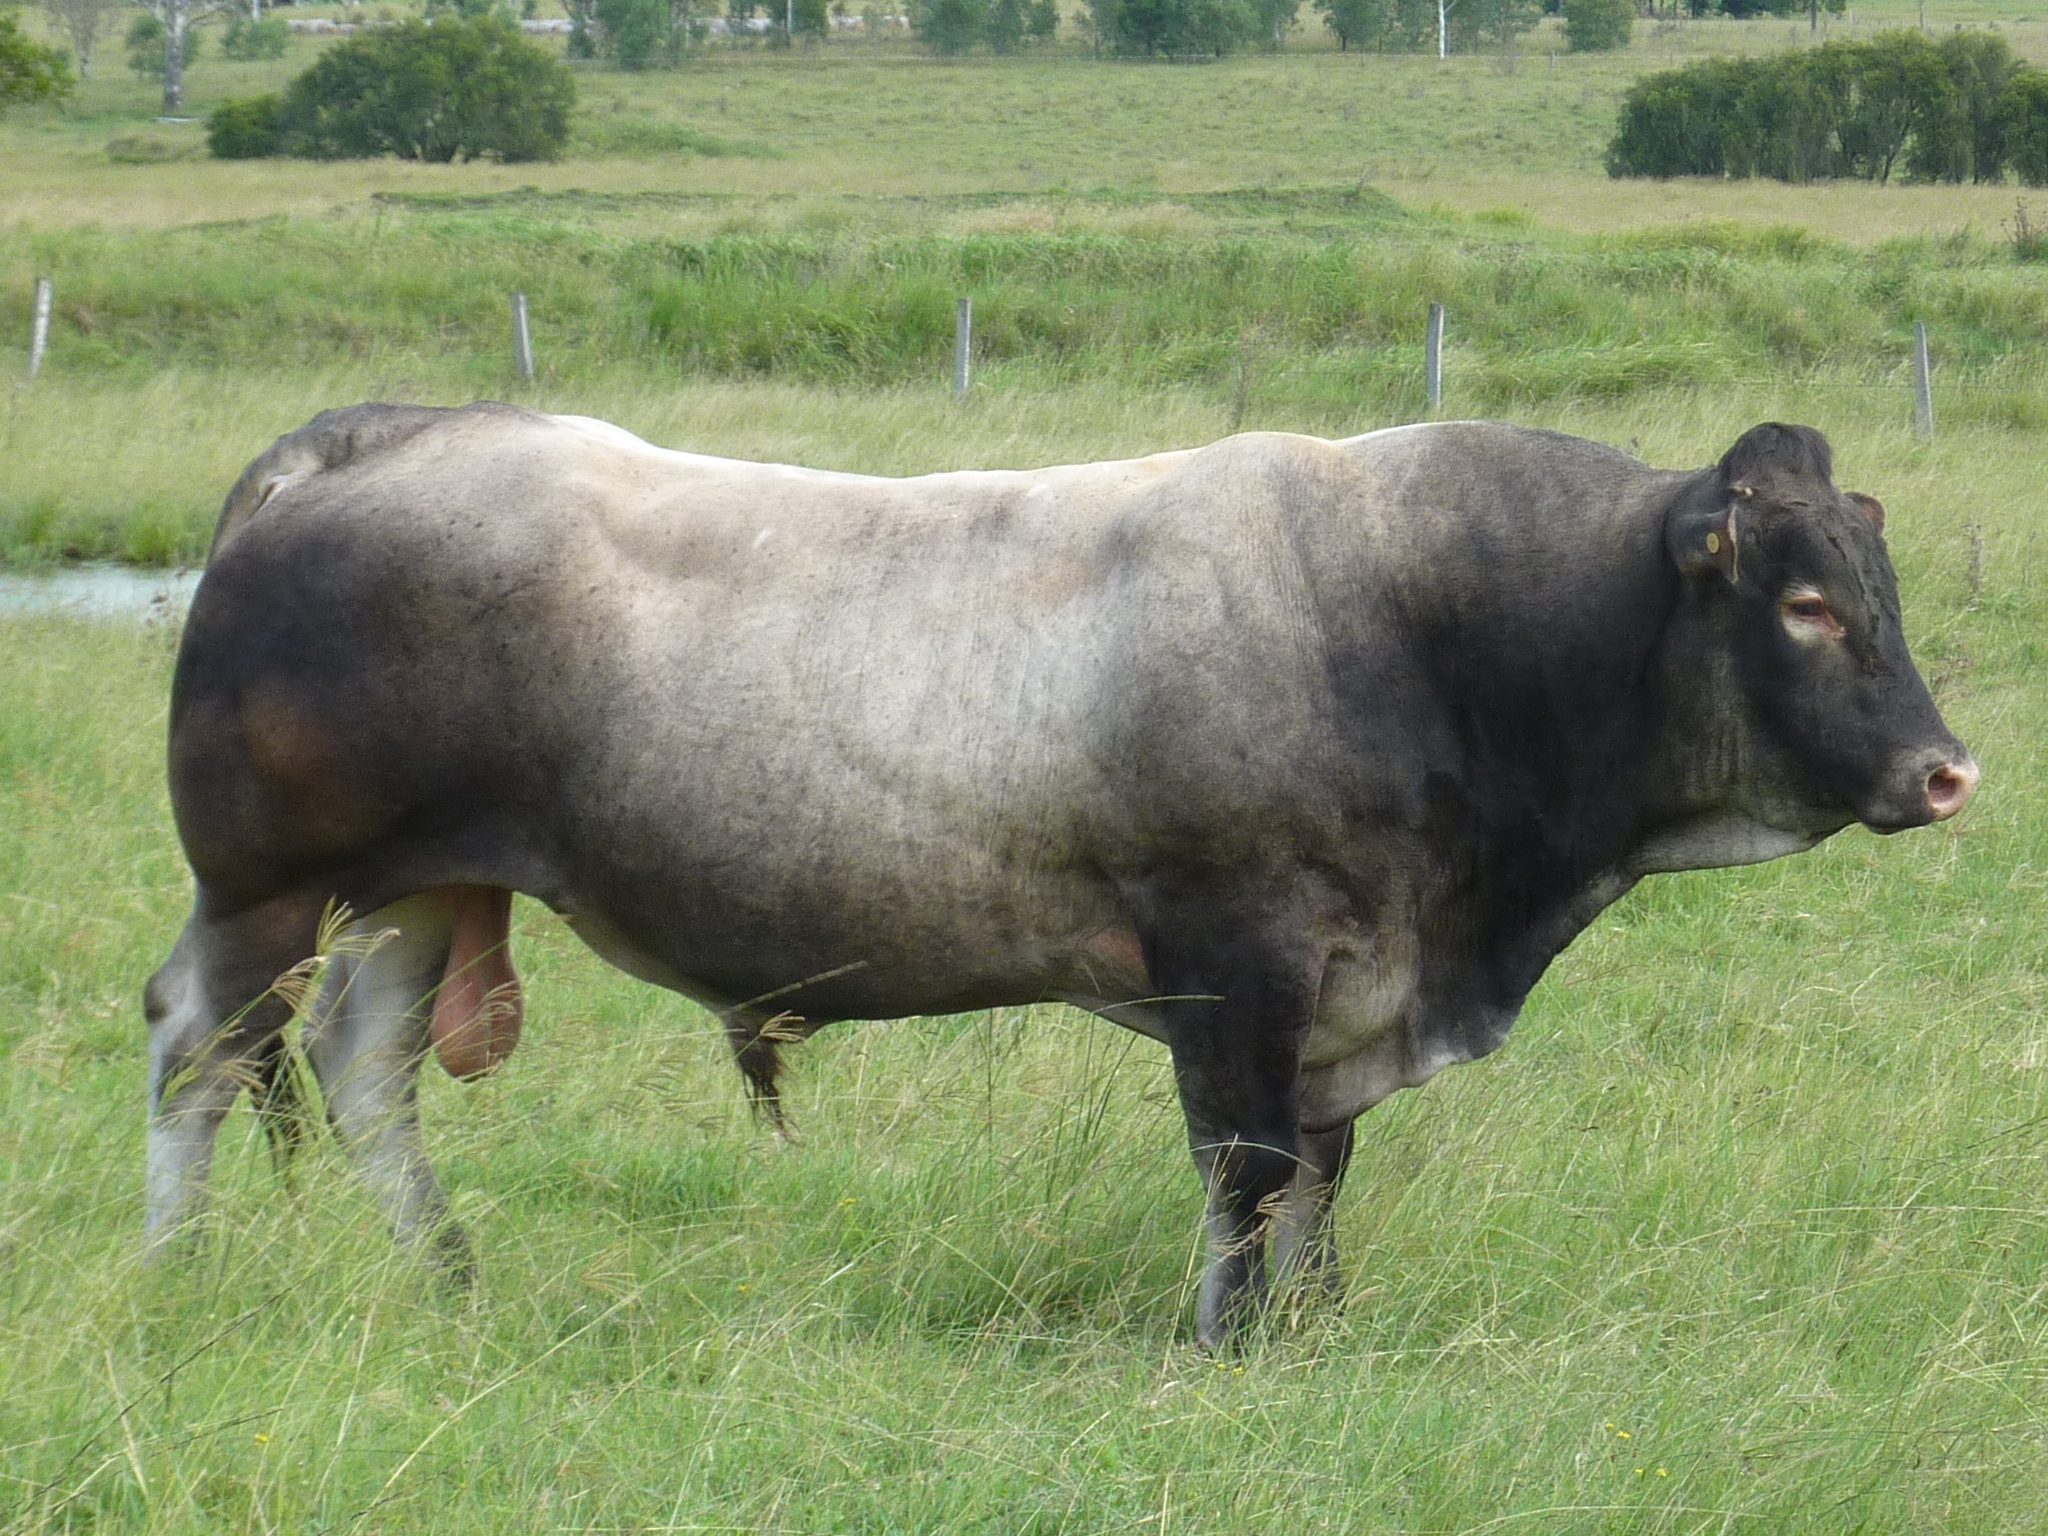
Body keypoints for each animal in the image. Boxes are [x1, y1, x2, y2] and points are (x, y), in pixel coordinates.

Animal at [144, 406, 1977, 1346]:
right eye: (1804, 604)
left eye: (1877, 588)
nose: (1944, 769)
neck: (1424, 613)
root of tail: (378, 438)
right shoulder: (1236, 956)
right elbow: (1249, 1169)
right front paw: (1227, 1347)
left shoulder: (1340, 993)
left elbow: (1320, 1175)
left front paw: (1310, 1333)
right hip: (266, 891)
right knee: (197, 1056)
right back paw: (178, 1283)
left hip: (418, 893)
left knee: (362, 1073)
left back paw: (446, 1282)